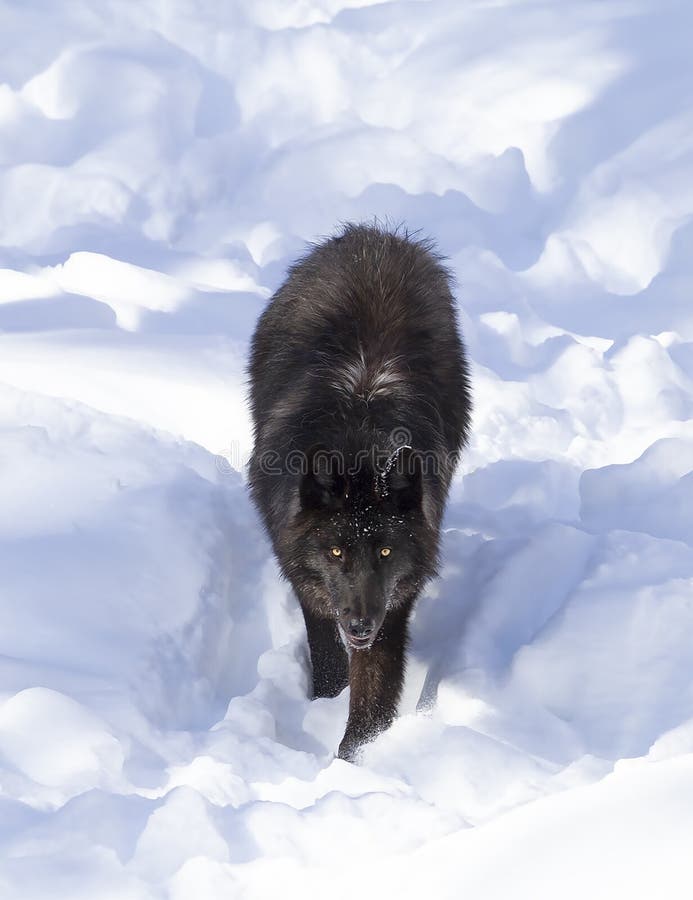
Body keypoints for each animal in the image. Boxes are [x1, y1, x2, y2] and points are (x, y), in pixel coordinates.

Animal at [248, 223, 471, 761]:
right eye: (335, 552)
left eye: (386, 551)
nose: (360, 628)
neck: (360, 447)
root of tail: (375, 235)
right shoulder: (310, 582)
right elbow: (328, 660)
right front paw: (326, 707)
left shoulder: (395, 601)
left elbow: (372, 700)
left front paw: (354, 761)